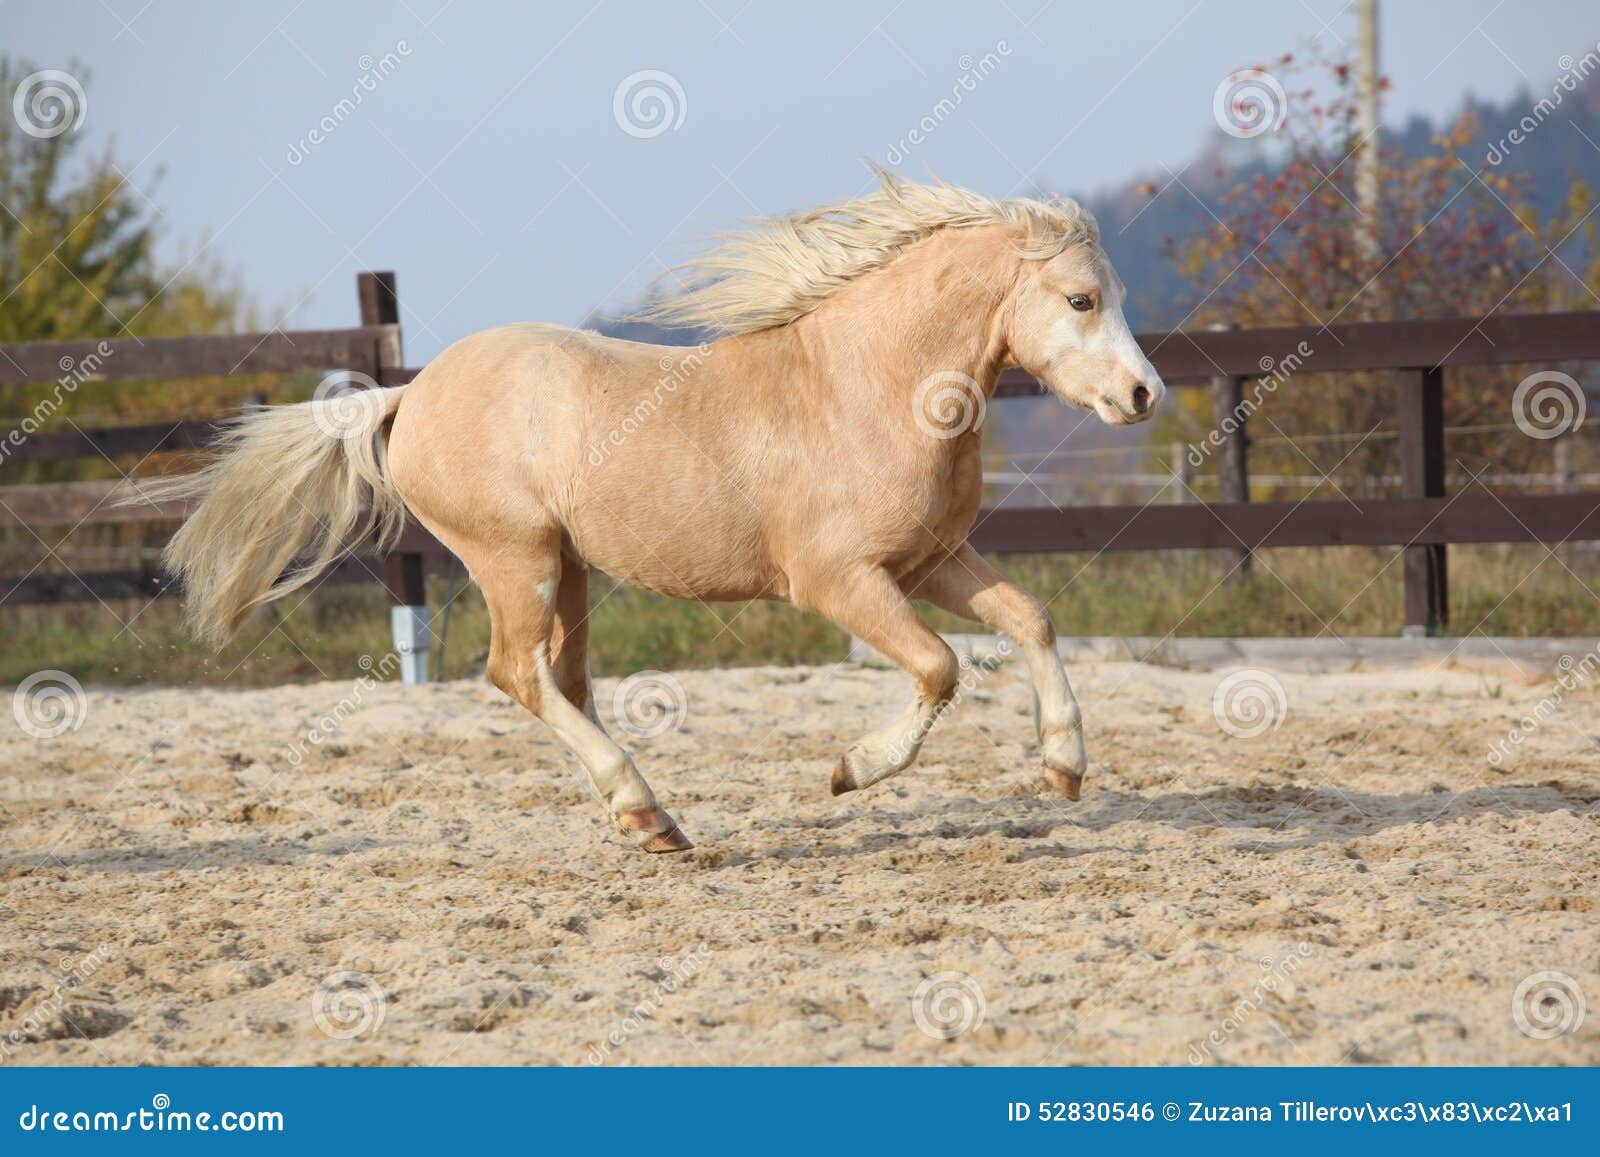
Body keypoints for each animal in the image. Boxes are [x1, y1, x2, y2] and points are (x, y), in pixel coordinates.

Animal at [150, 172, 1165, 853]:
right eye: (1081, 298)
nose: (1144, 394)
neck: (871, 387)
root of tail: (410, 394)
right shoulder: (838, 582)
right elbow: (940, 666)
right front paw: (850, 770)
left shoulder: (929, 560)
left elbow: (1030, 619)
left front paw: (1065, 766)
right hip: (514, 558)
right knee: (517, 674)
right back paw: (646, 811)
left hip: (568, 570)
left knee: (563, 680)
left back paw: (646, 817)